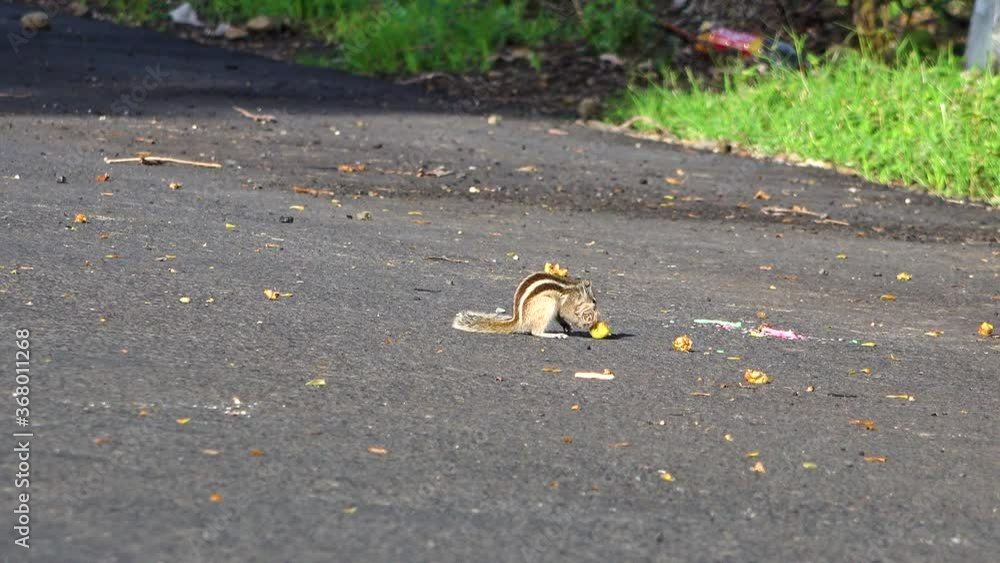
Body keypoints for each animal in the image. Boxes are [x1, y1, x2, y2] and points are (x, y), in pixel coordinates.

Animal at [453, 272, 600, 339]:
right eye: (594, 301)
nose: (595, 308)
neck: (576, 289)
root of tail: (520, 320)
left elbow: (560, 316)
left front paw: (567, 327)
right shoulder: (569, 300)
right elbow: (565, 312)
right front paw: (583, 323)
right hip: (547, 304)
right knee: (536, 332)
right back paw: (554, 335)